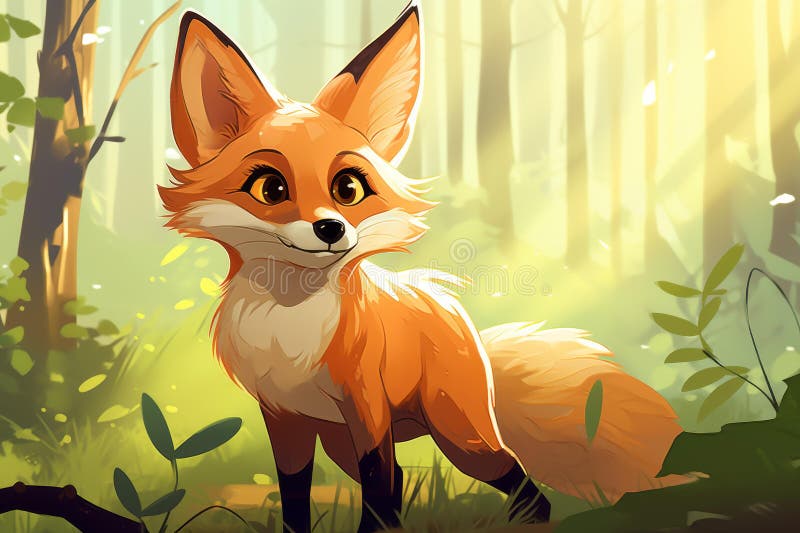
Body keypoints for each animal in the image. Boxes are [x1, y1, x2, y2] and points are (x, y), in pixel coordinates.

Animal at [160, 3, 689, 532]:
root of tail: (473, 335)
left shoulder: (367, 408)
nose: (331, 229)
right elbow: (298, 497)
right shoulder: (284, 419)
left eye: (347, 188)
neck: (290, 327)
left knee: (518, 484)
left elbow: (377, 487)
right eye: (270, 188)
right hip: (343, 439)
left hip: (460, 438)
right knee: (404, 475)